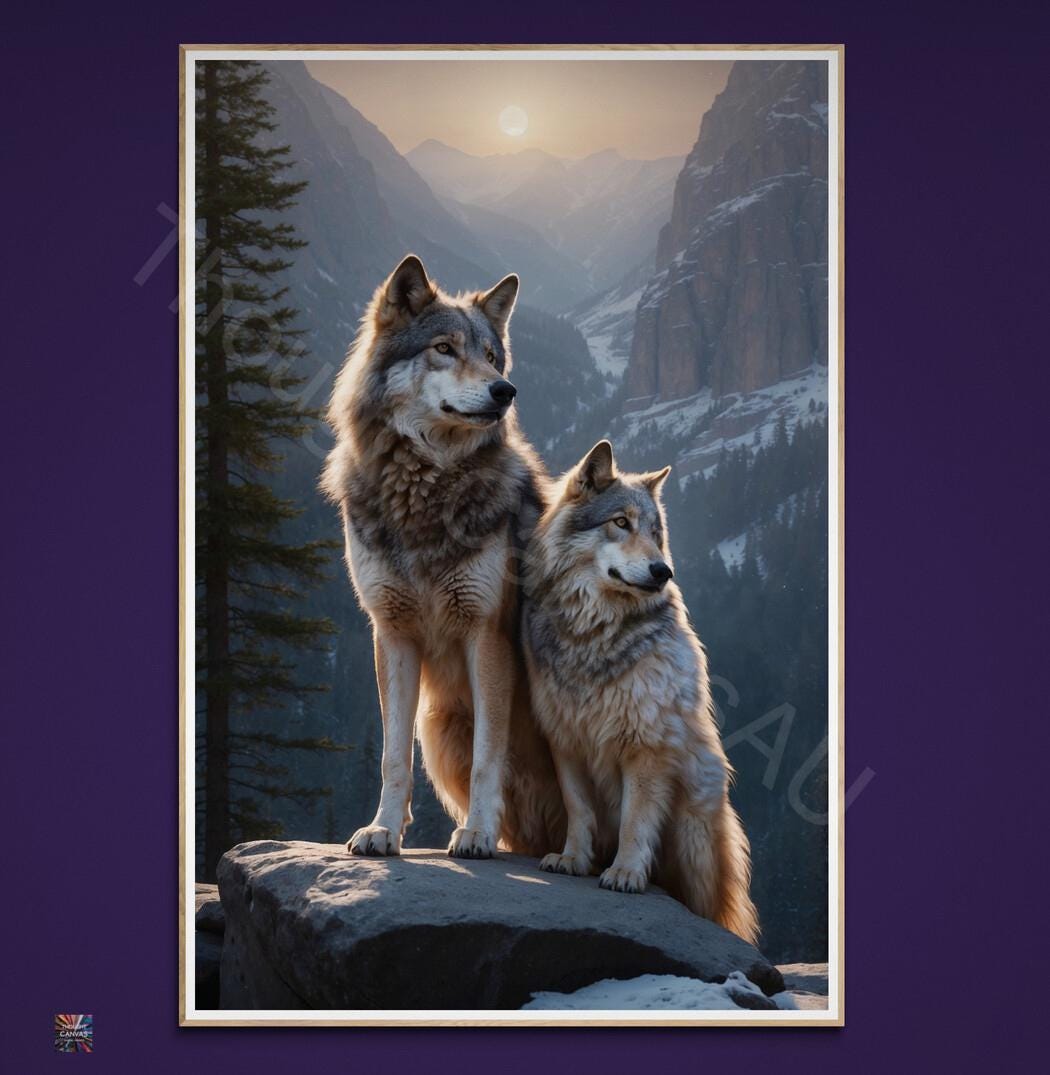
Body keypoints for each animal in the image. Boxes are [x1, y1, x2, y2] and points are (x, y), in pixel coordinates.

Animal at [320, 254, 565, 860]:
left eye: (492, 356)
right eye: (445, 348)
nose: (505, 390)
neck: (424, 489)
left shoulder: (487, 635)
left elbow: (488, 759)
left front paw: (476, 833)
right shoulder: (391, 633)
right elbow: (392, 756)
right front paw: (382, 830)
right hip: (438, 726)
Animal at [522, 440, 759, 943]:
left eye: (655, 532)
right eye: (621, 522)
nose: (663, 570)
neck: (592, 633)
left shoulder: (646, 748)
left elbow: (635, 820)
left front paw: (627, 873)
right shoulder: (565, 741)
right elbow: (578, 809)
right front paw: (572, 859)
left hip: (693, 840)